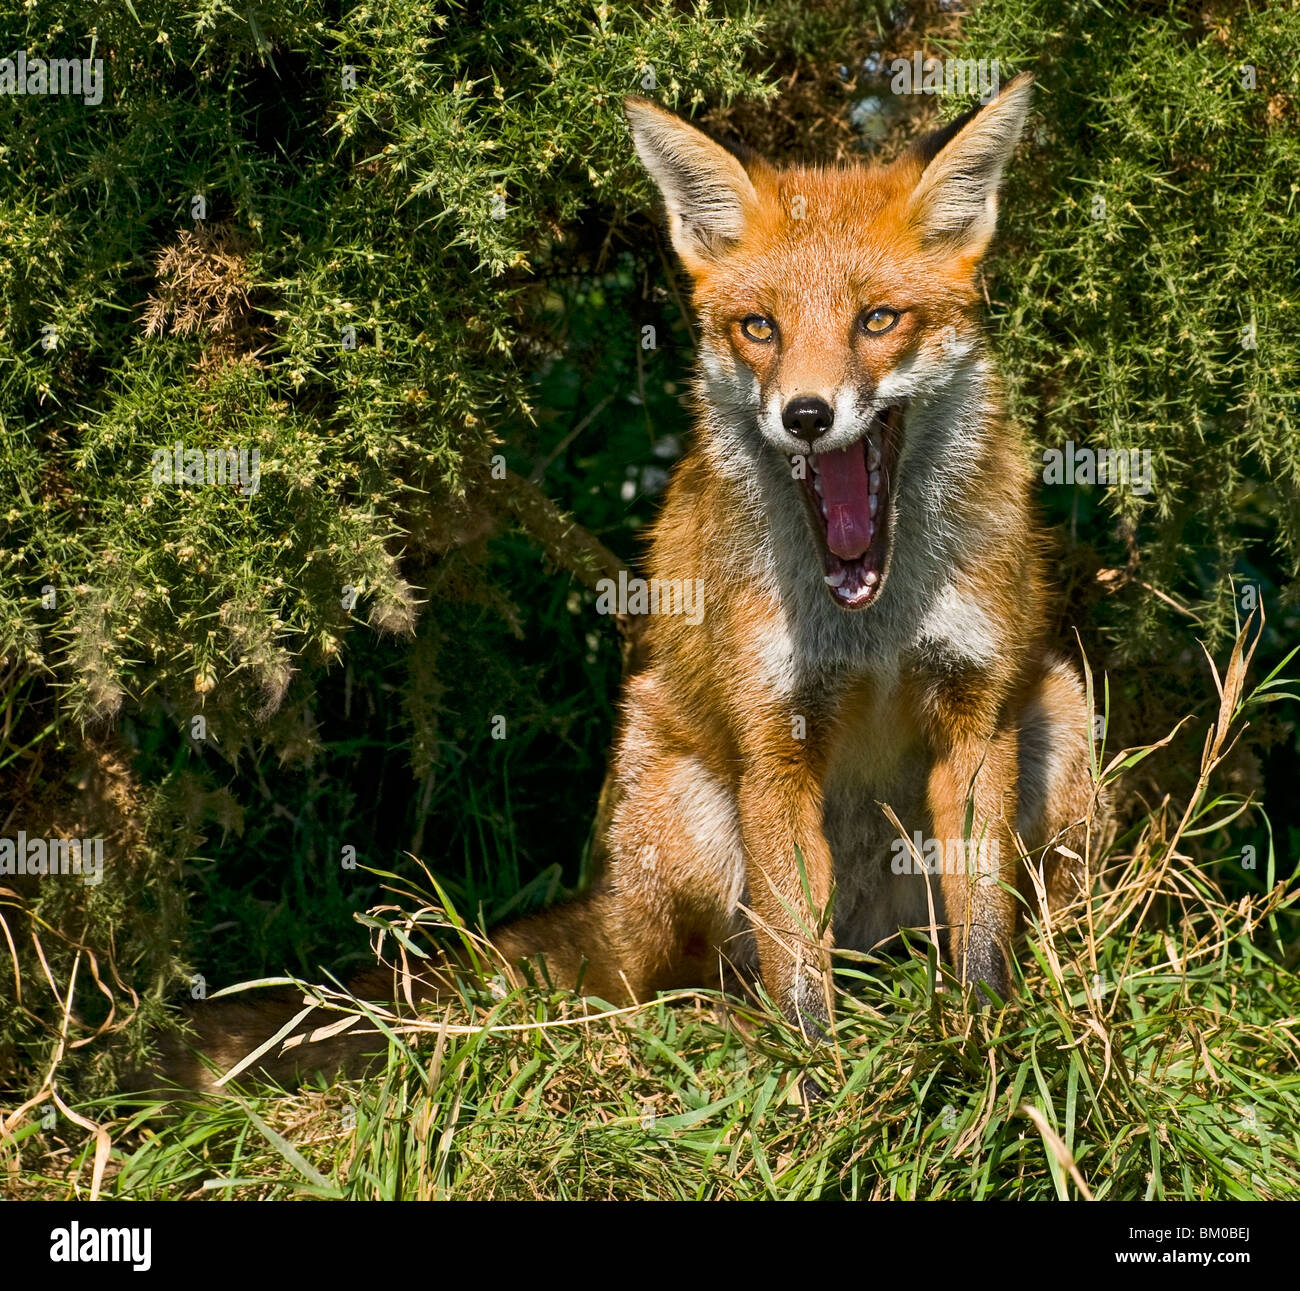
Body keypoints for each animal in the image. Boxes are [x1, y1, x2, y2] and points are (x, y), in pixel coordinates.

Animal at [142, 73, 1094, 1093]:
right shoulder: (775, 745)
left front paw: (989, 1047)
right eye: (759, 328)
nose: (805, 415)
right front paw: (816, 1083)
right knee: (678, 980)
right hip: (684, 807)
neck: (870, 625)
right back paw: (714, 1024)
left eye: (878, 320)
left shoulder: (976, 714)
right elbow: (798, 966)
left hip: (1061, 720)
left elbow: (982, 926)